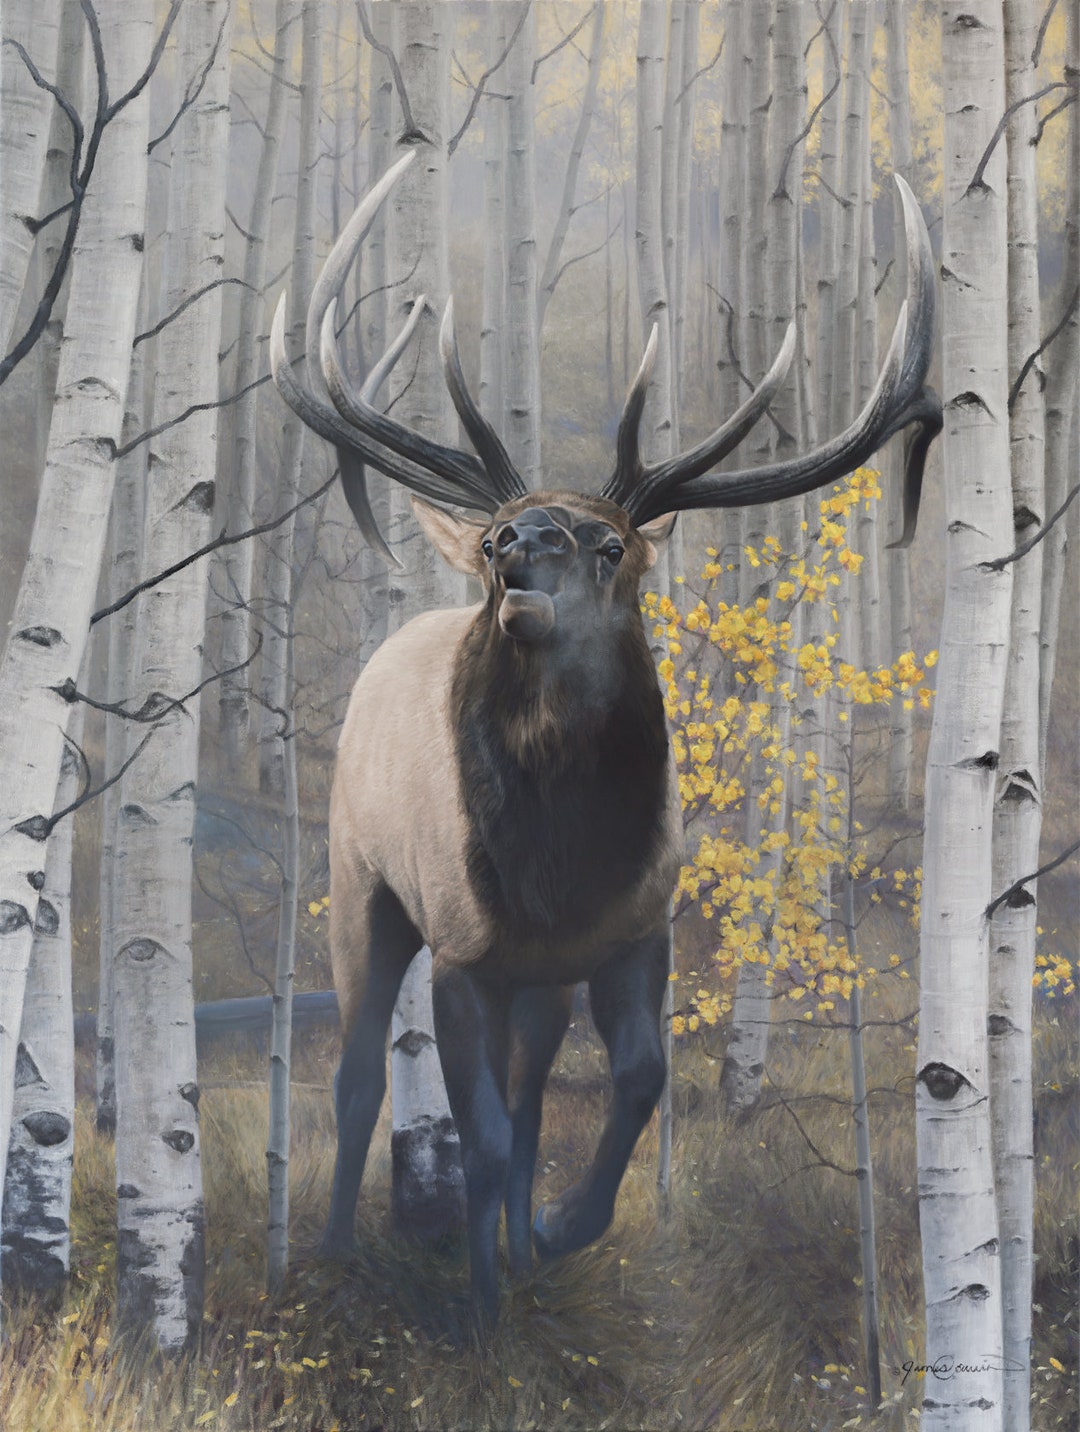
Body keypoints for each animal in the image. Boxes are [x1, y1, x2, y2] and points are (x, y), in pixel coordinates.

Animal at [271, 151, 940, 1326]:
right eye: (504, 534)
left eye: (612, 543)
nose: (513, 548)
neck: (562, 874)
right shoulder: (464, 951)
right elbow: (484, 1136)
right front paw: (482, 1313)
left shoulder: (636, 933)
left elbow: (631, 1083)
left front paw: (554, 1233)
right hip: (360, 879)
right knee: (357, 1078)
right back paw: (341, 1248)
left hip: (538, 983)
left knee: (534, 1092)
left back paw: (517, 1247)